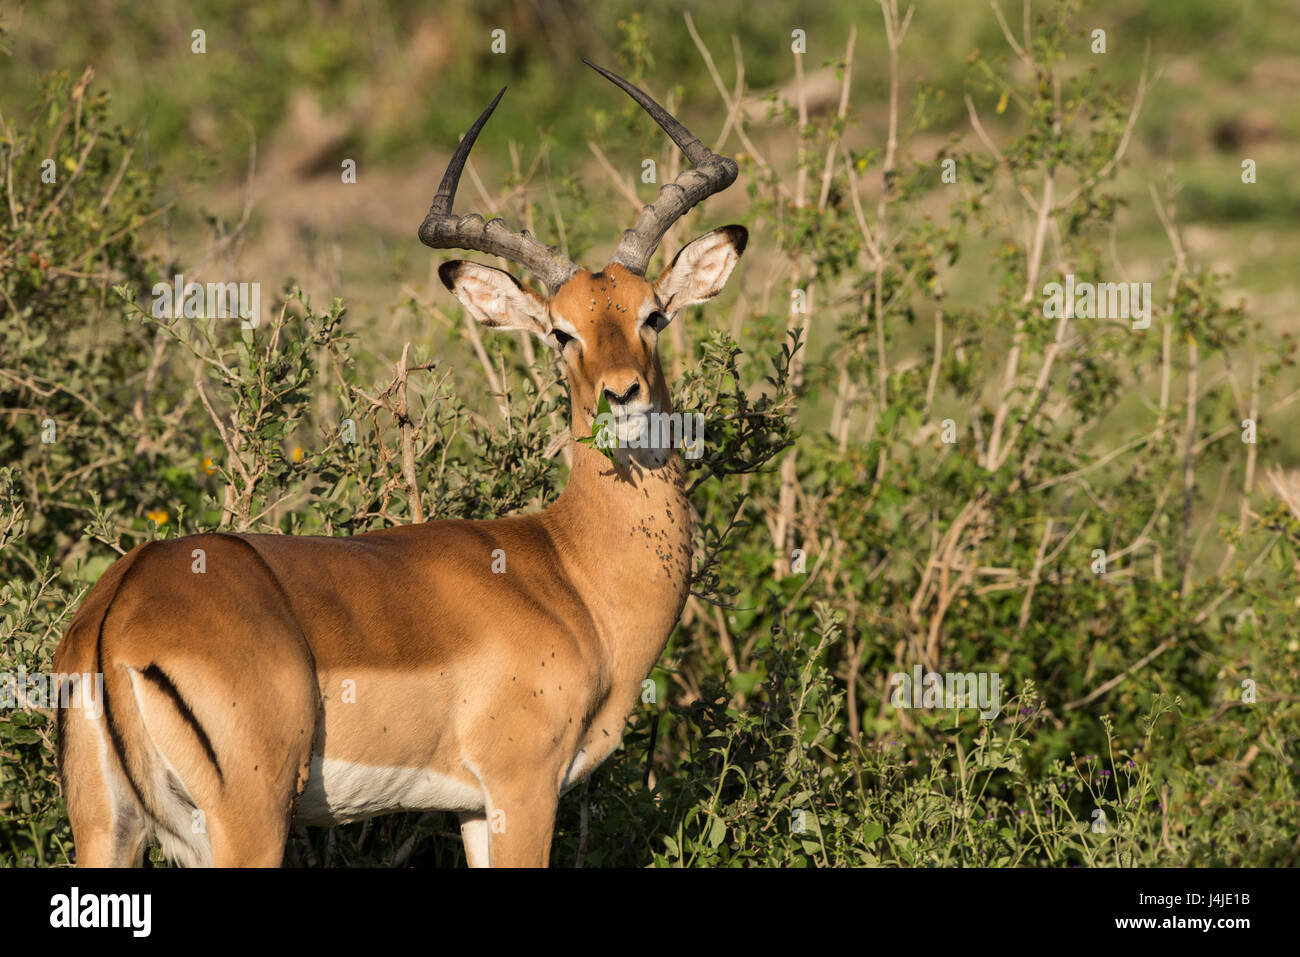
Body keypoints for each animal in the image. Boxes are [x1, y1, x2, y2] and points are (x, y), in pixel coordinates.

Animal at [52, 59, 747, 867]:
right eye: (560, 331)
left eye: (653, 315)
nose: (622, 396)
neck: (572, 571)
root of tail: (118, 609)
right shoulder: (522, 787)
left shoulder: (473, 807)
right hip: (248, 818)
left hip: (113, 827)